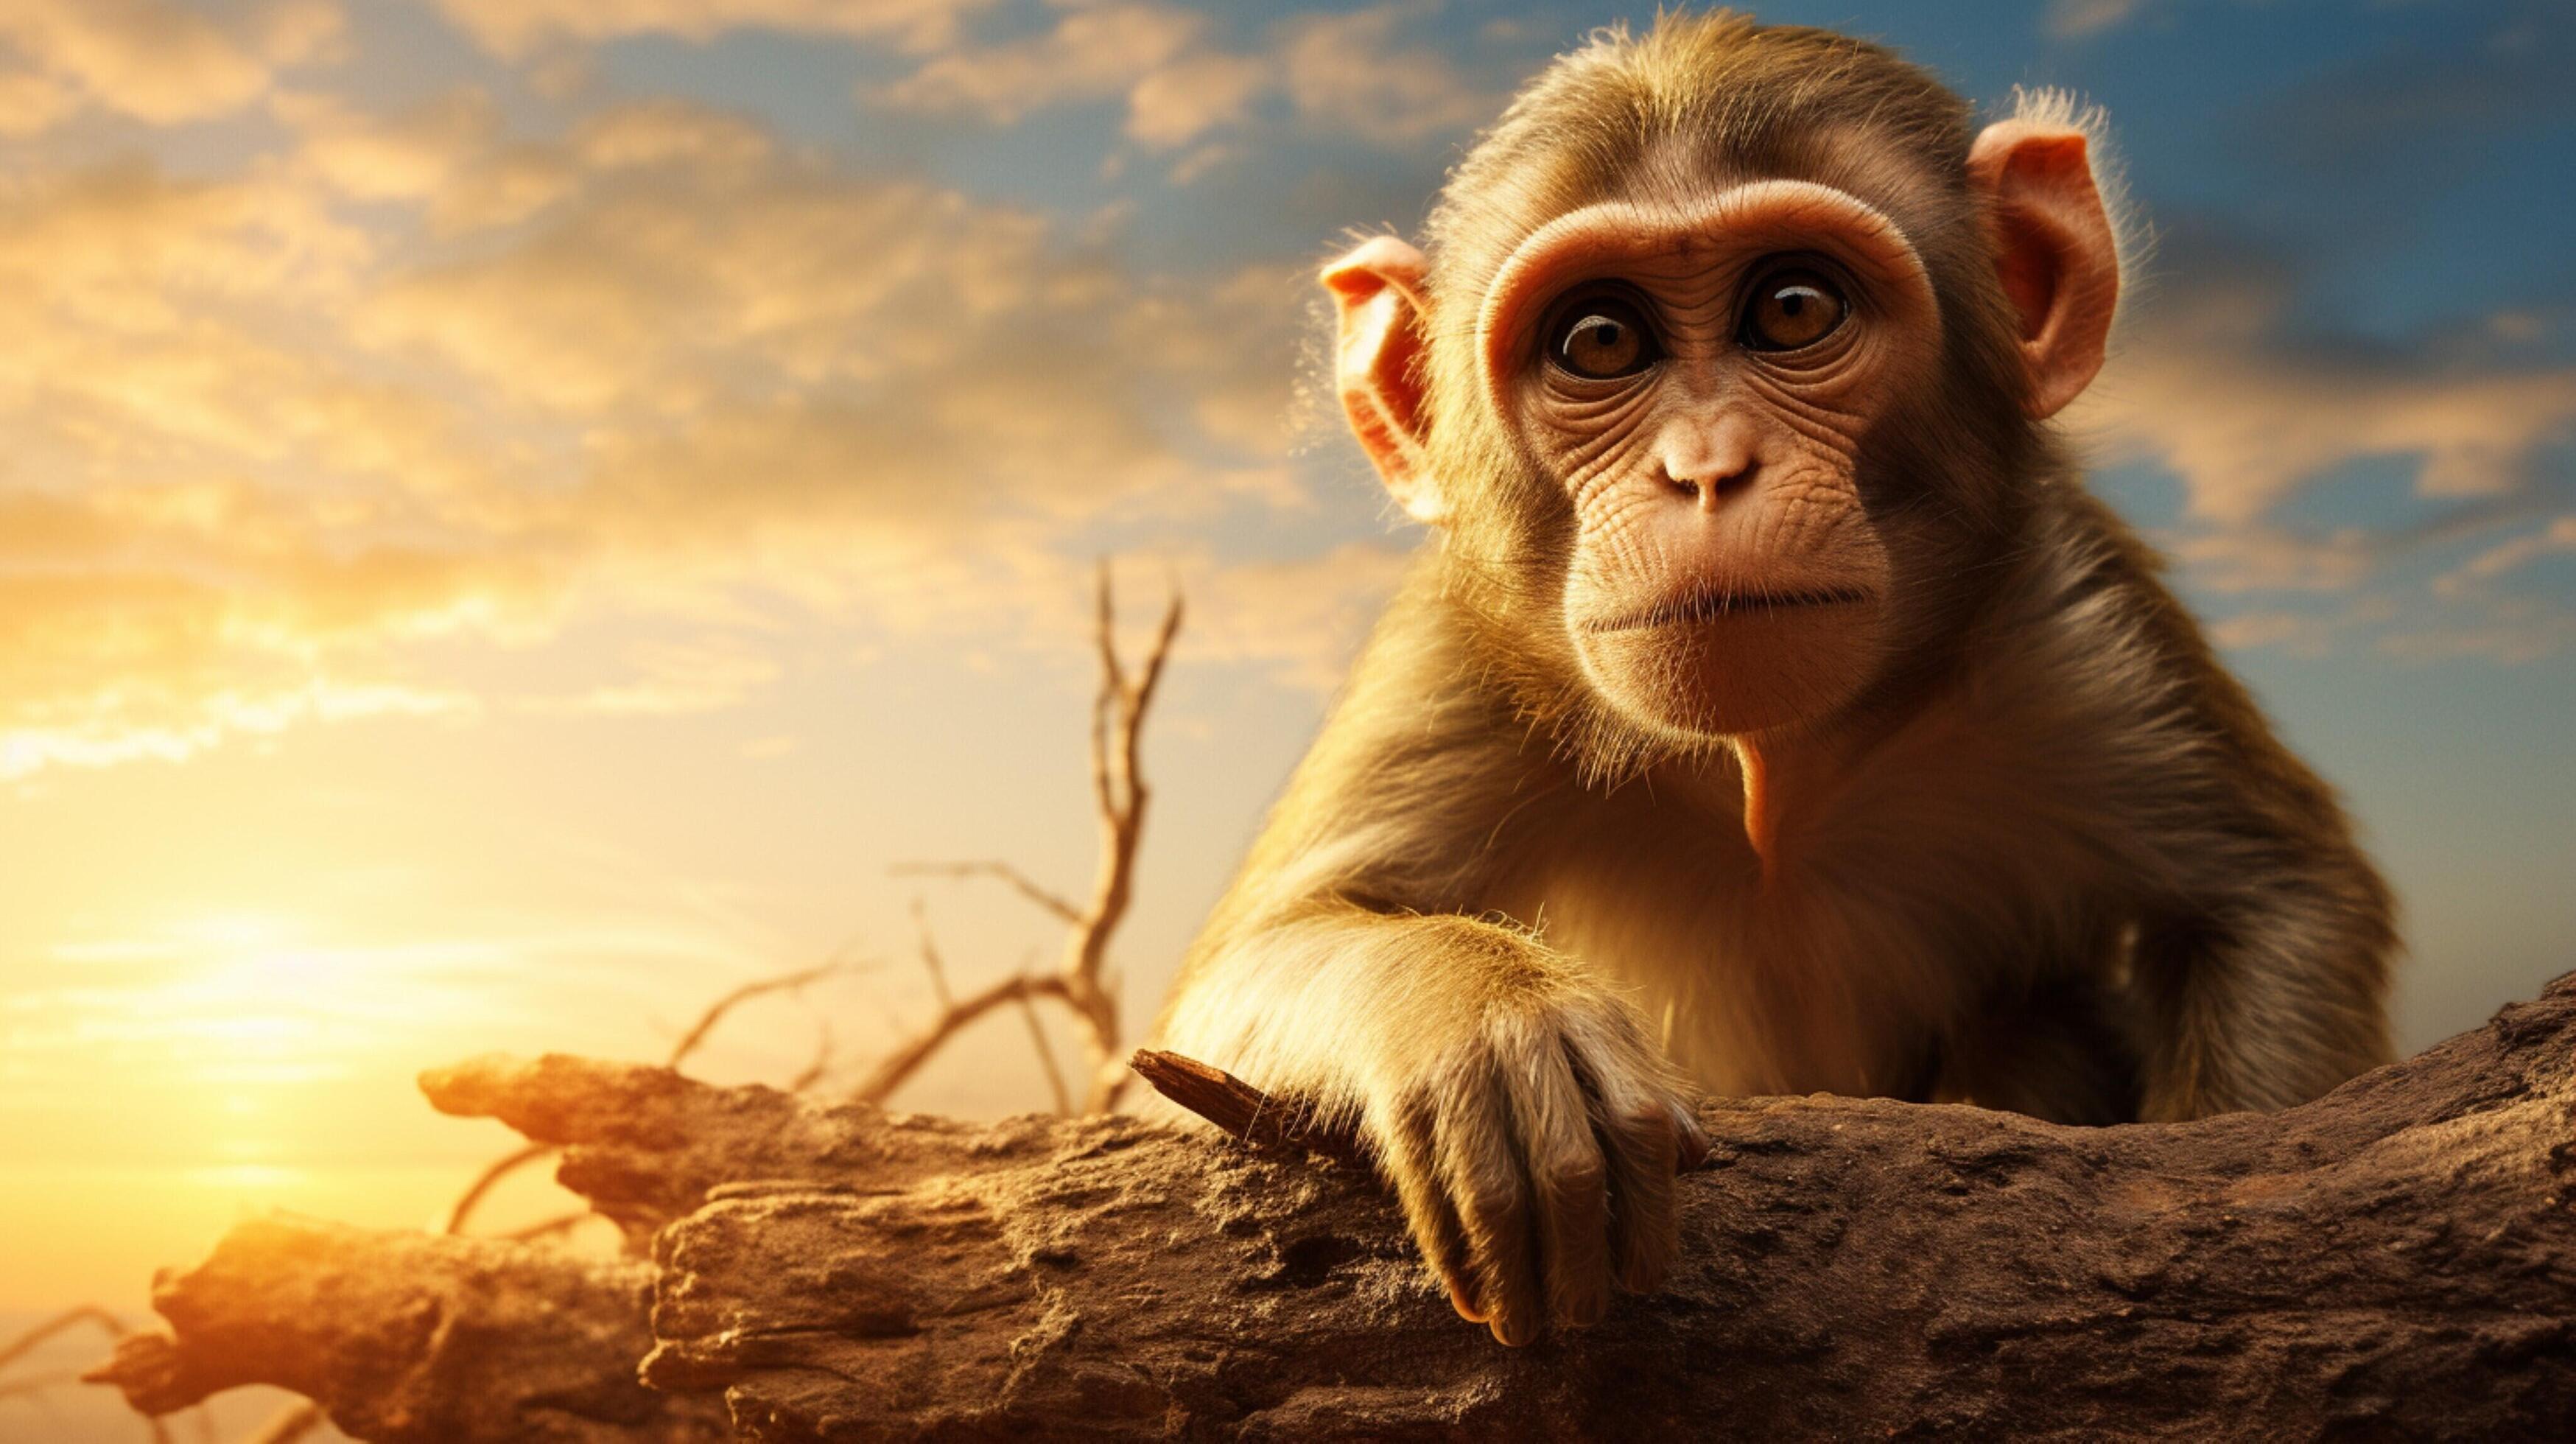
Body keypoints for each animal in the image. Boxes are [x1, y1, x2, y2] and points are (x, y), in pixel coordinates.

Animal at [1149, 13, 2397, 1347]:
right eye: (1599, 341)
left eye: (1794, 309)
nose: (1707, 469)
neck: (1770, 772)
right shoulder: (1458, 651)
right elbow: (1249, 963)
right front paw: (1489, 1020)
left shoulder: (2066, 620)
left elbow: (2270, 895)